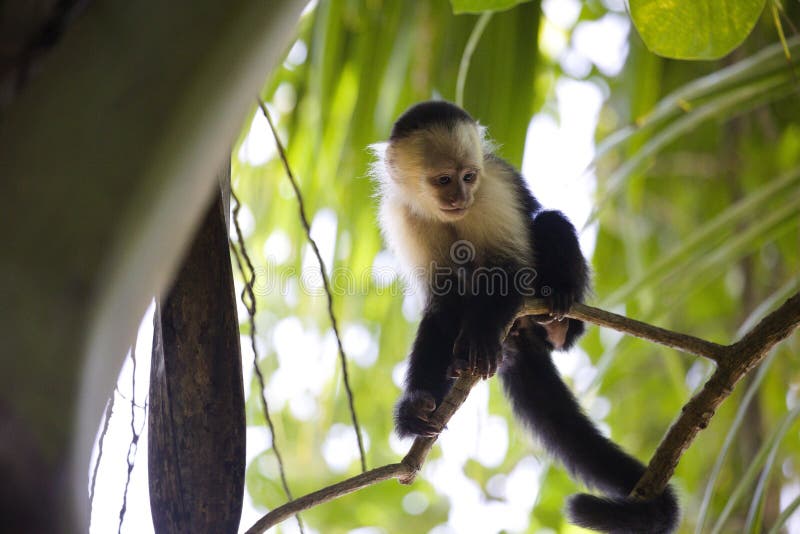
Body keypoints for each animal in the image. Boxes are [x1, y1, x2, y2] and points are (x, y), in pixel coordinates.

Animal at [370, 101, 679, 534]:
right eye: (443, 180)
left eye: (468, 176)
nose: (461, 195)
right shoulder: (403, 213)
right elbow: (442, 302)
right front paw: (416, 407)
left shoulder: (492, 190)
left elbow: (508, 271)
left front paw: (481, 337)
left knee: (548, 222)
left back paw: (556, 319)